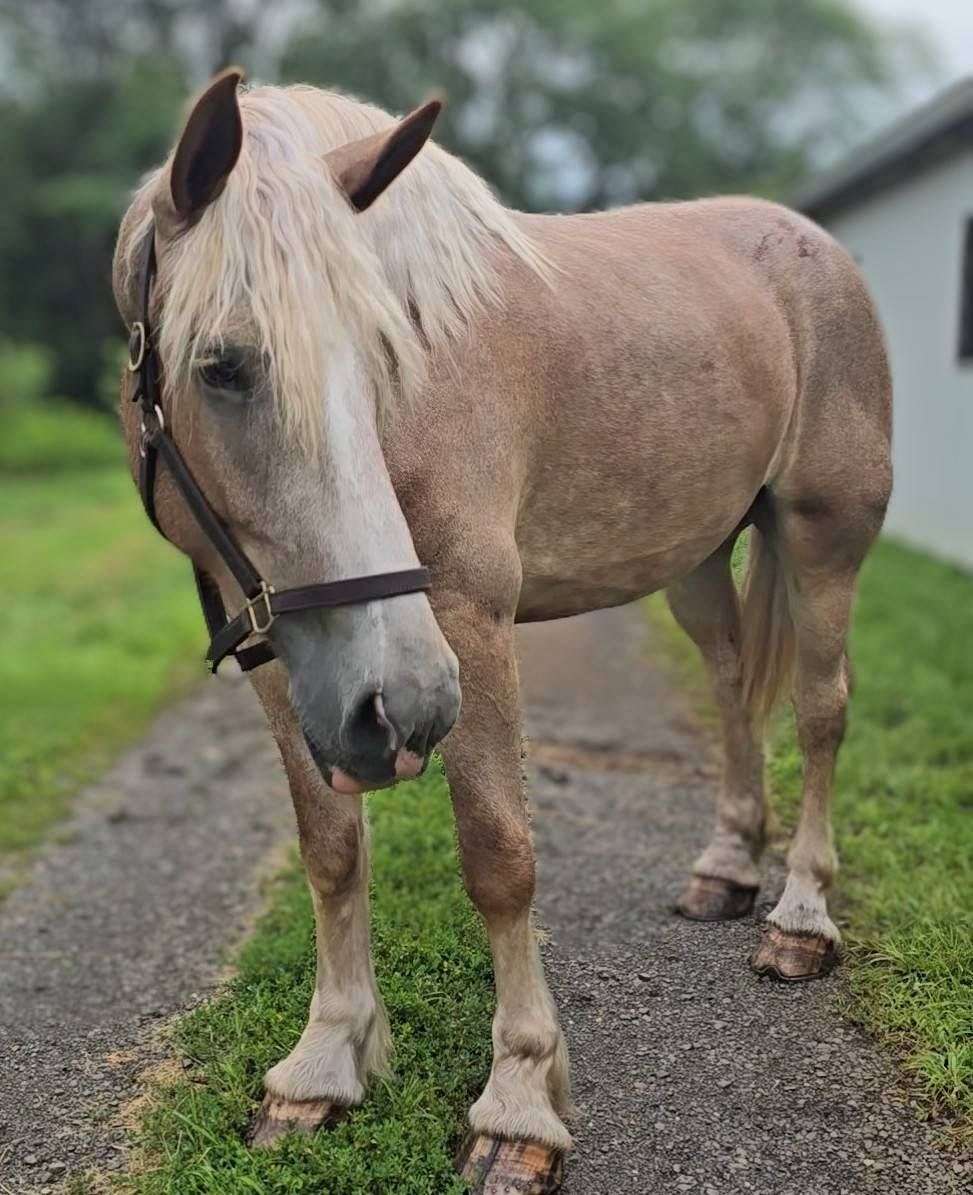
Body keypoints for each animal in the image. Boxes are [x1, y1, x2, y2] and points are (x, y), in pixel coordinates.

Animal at [112, 69, 892, 1192]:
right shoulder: (280, 647)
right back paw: (726, 870)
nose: (402, 704)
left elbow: (498, 857)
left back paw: (798, 918)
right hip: (699, 563)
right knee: (733, 692)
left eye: (387, 357)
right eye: (221, 367)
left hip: (825, 540)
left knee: (821, 712)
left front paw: (519, 1102)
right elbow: (330, 851)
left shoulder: (469, 629)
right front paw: (321, 1066)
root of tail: (813, 246)